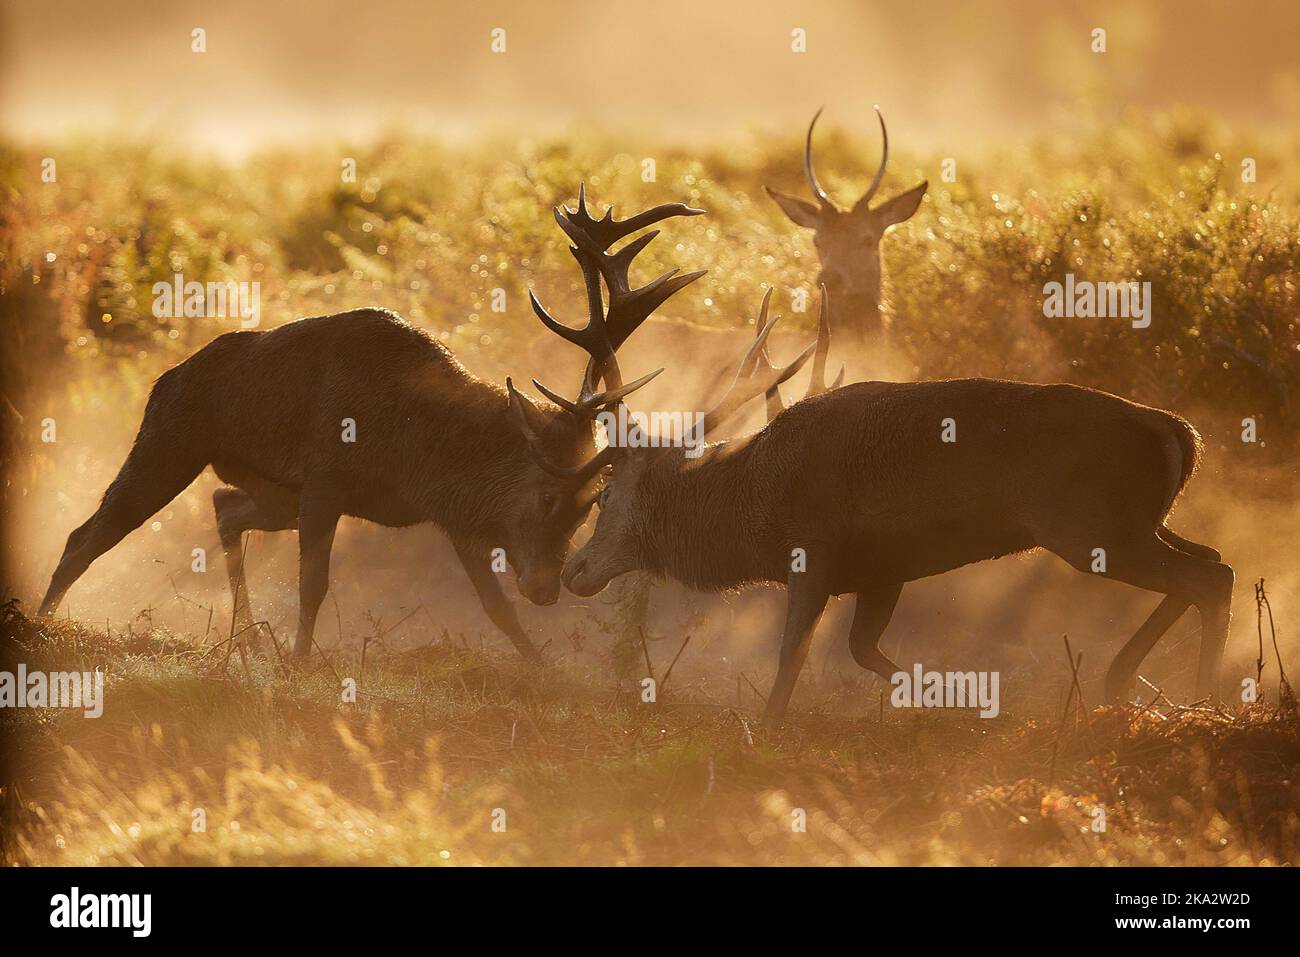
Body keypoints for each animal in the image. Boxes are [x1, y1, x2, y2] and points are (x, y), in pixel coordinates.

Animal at [37, 188, 705, 660]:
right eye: (546, 496)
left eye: (590, 505)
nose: (547, 588)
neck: (418, 453)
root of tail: (167, 376)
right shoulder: (326, 479)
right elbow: (314, 584)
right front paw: (300, 663)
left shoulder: (450, 514)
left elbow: (494, 607)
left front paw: (543, 671)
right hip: (168, 442)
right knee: (84, 535)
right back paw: (42, 623)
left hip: (270, 490)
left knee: (224, 506)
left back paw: (244, 638)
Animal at [547, 285, 1234, 728]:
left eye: (605, 493)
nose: (573, 568)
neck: (755, 506)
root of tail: (1178, 432)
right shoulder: (883, 571)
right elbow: (862, 649)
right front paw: (957, 706)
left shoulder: (813, 550)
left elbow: (793, 655)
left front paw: (766, 731)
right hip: (1137, 522)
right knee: (1212, 560)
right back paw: (1123, 680)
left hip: (1089, 525)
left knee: (1208, 577)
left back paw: (1202, 700)